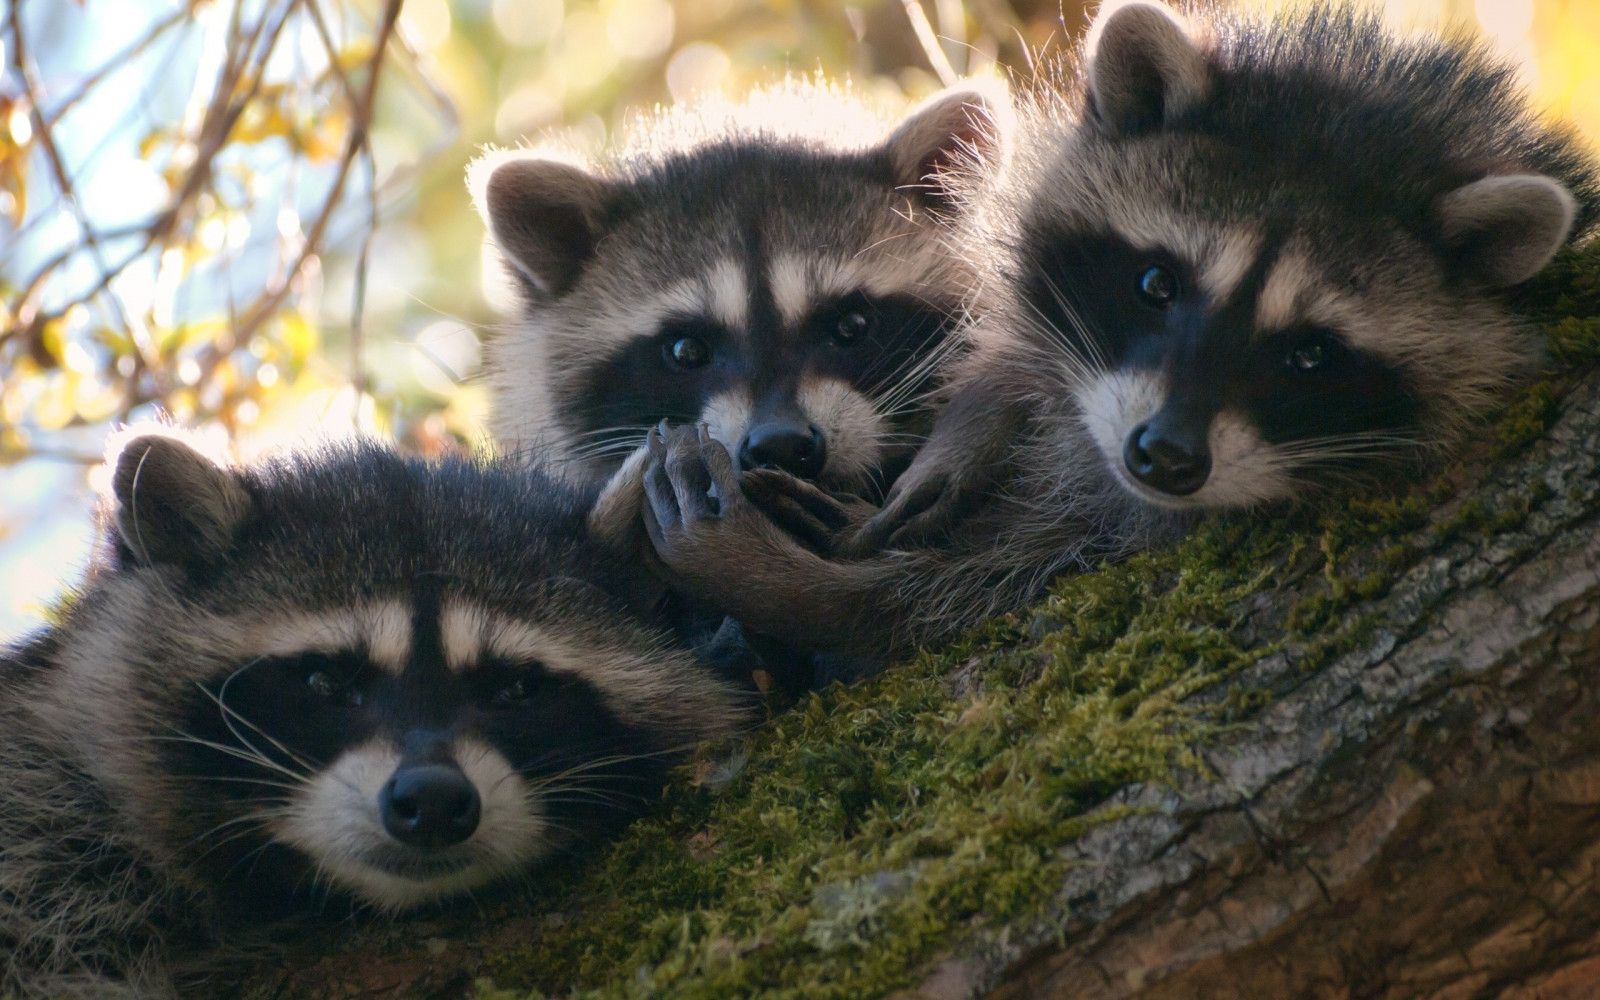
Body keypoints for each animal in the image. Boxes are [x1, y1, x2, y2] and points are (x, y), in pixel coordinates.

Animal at [629, 1, 1598, 664]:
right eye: (1156, 284)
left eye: (1311, 353)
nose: (1163, 457)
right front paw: (979, 417)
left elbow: (967, 597)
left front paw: (809, 594)